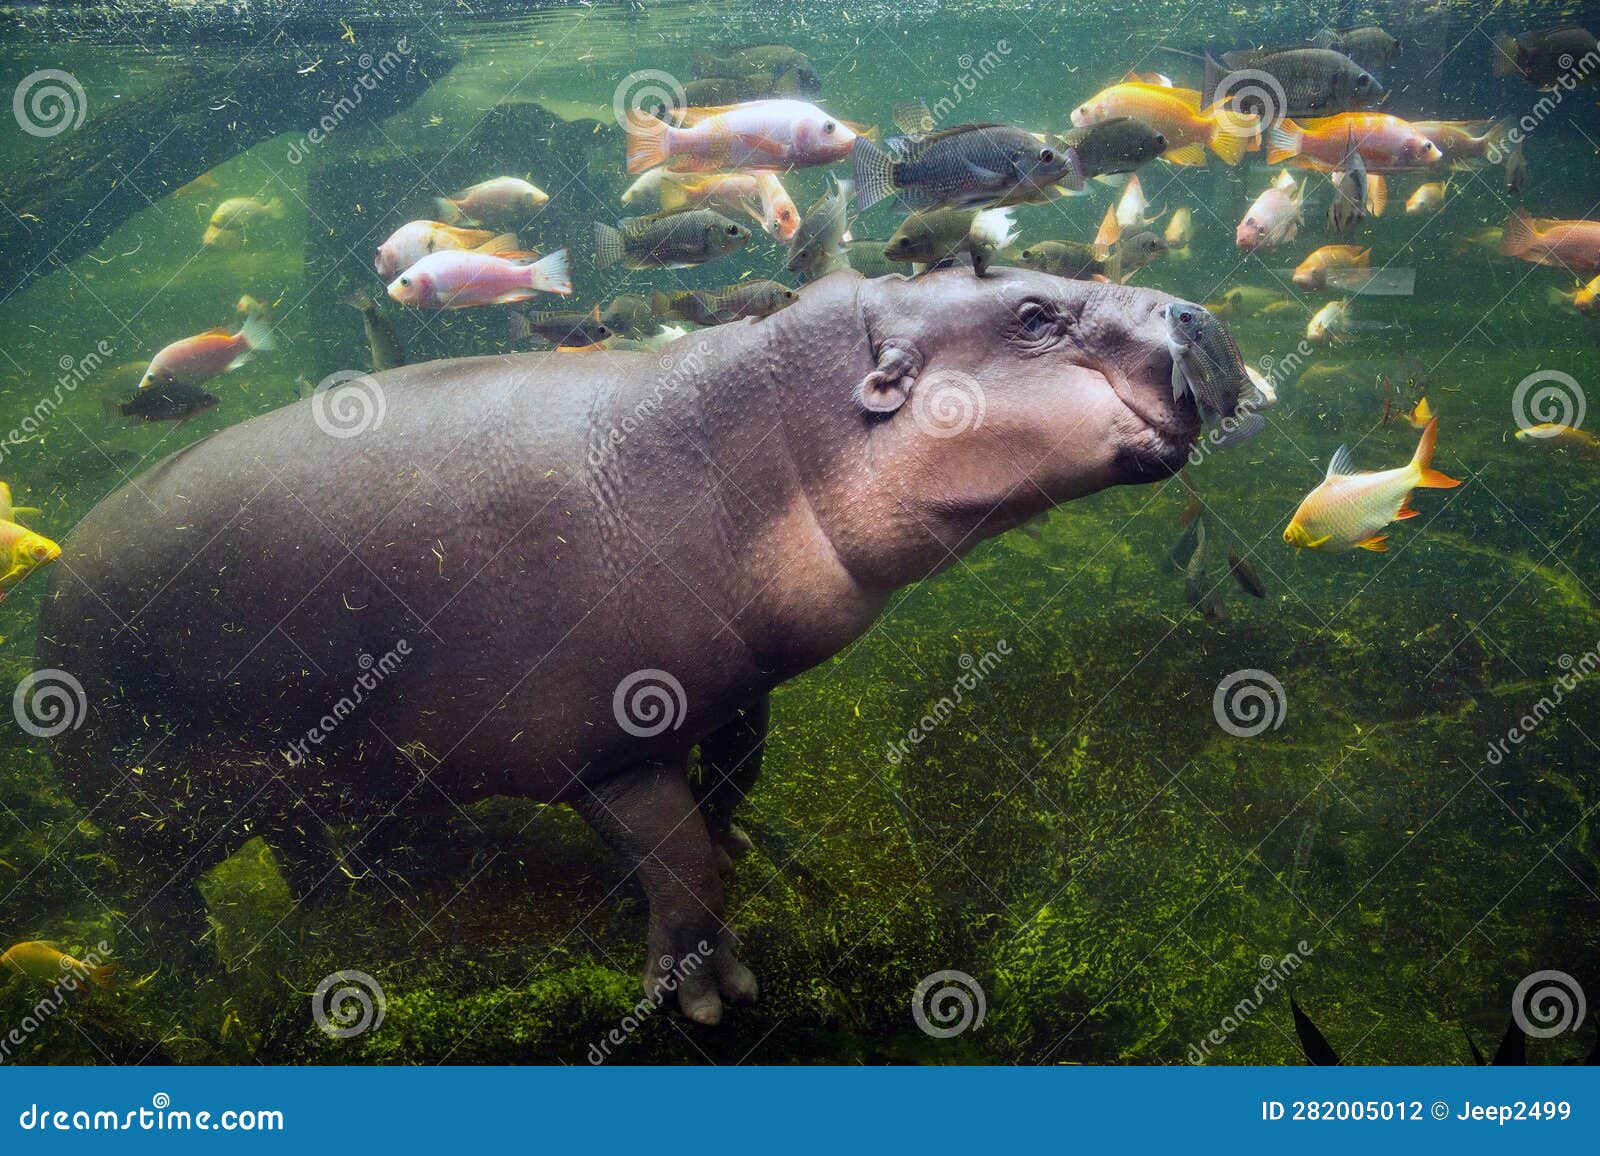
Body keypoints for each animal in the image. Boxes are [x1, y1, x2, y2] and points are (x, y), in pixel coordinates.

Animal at [36, 268, 1206, 1025]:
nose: (1196, 313)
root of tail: (54, 584)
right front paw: (708, 993)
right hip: (135, 804)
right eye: (1034, 315)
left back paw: (355, 910)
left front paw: (741, 851)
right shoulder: (608, 741)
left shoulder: (740, 685)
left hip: (306, 778)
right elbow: (677, 854)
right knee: (164, 901)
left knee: (299, 849)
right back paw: (204, 990)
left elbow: (728, 784)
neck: (762, 439)